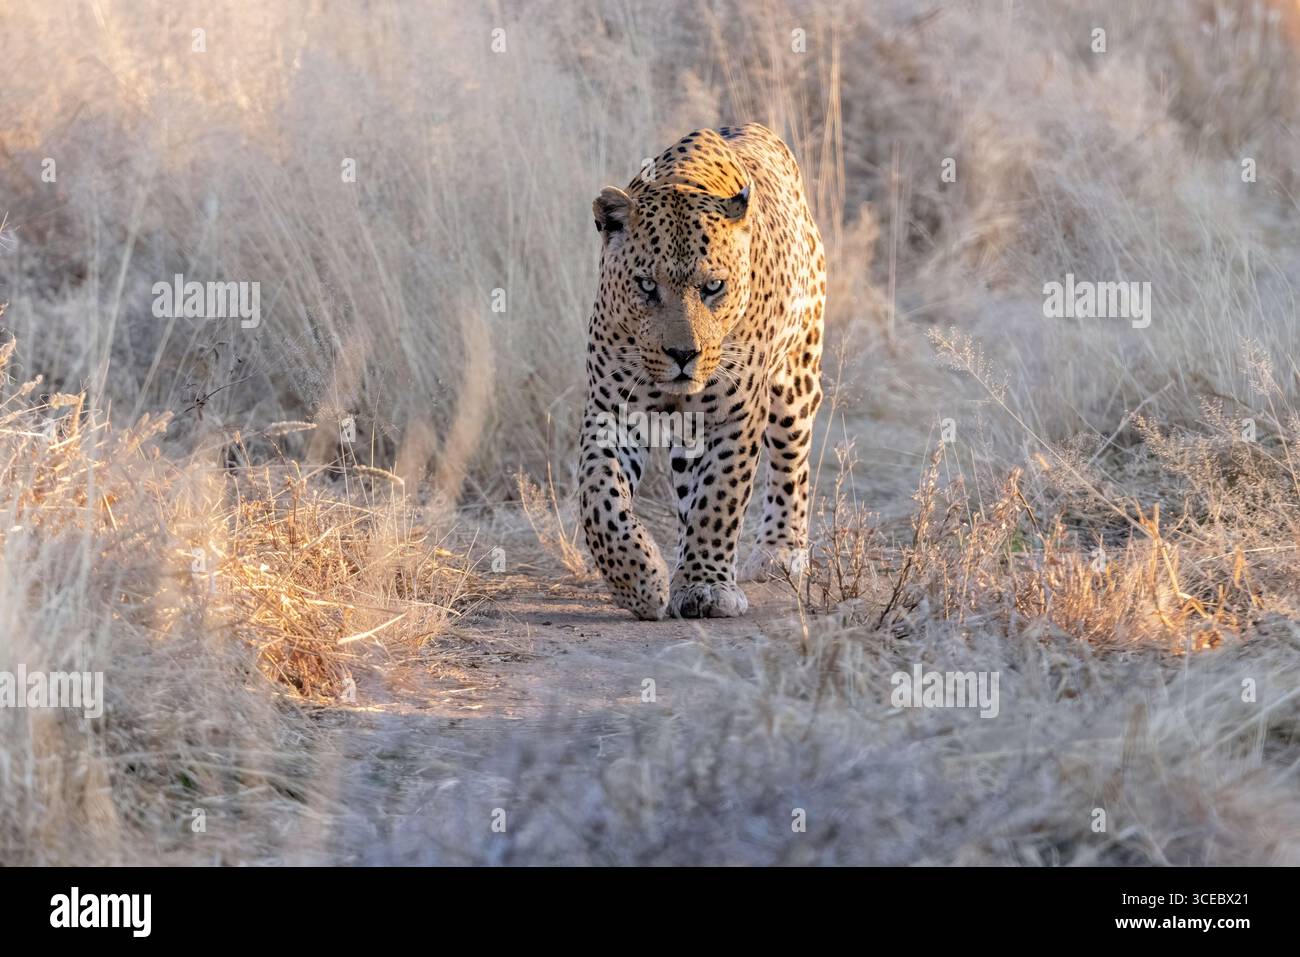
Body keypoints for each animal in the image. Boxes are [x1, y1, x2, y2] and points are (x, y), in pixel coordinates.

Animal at [580, 123, 826, 620]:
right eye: (646, 285)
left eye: (713, 286)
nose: (682, 354)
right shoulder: (611, 411)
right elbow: (598, 497)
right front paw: (640, 581)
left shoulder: (735, 415)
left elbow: (719, 497)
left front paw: (705, 586)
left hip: (796, 378)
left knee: (792, 461)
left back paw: (780, 550)